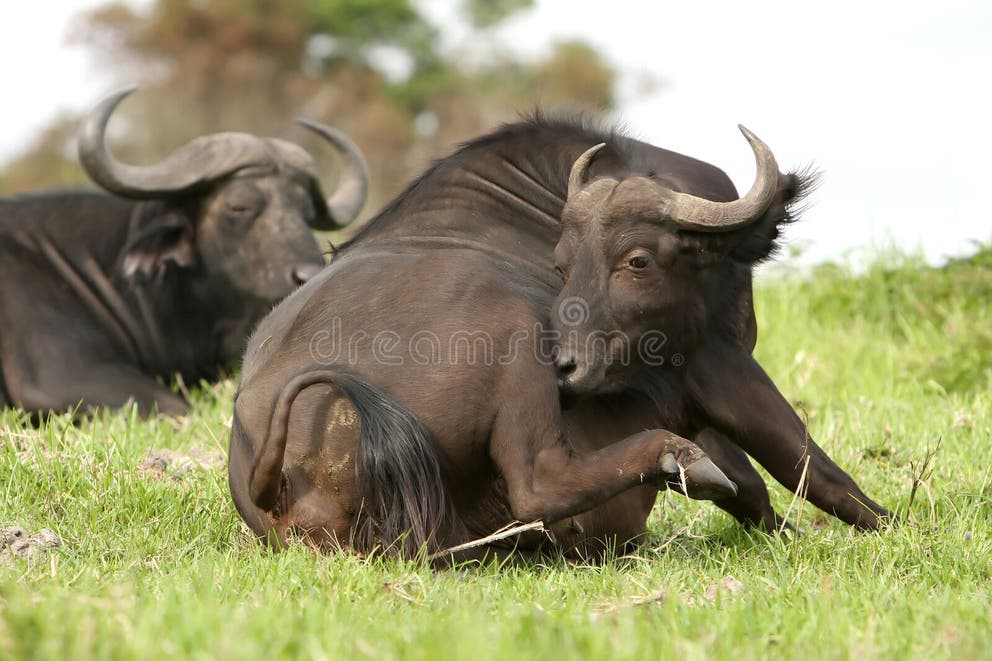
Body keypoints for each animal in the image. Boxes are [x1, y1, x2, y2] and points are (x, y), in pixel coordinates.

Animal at [229, 116, 891, 561]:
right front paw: (892, 525)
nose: (567, 368)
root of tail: (277, 481)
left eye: (637, 261)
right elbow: (803, 461)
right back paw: (676, 460)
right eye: (563, 263)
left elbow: (757, 482)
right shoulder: (717, 367)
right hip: (515, 337)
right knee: (540, 480)